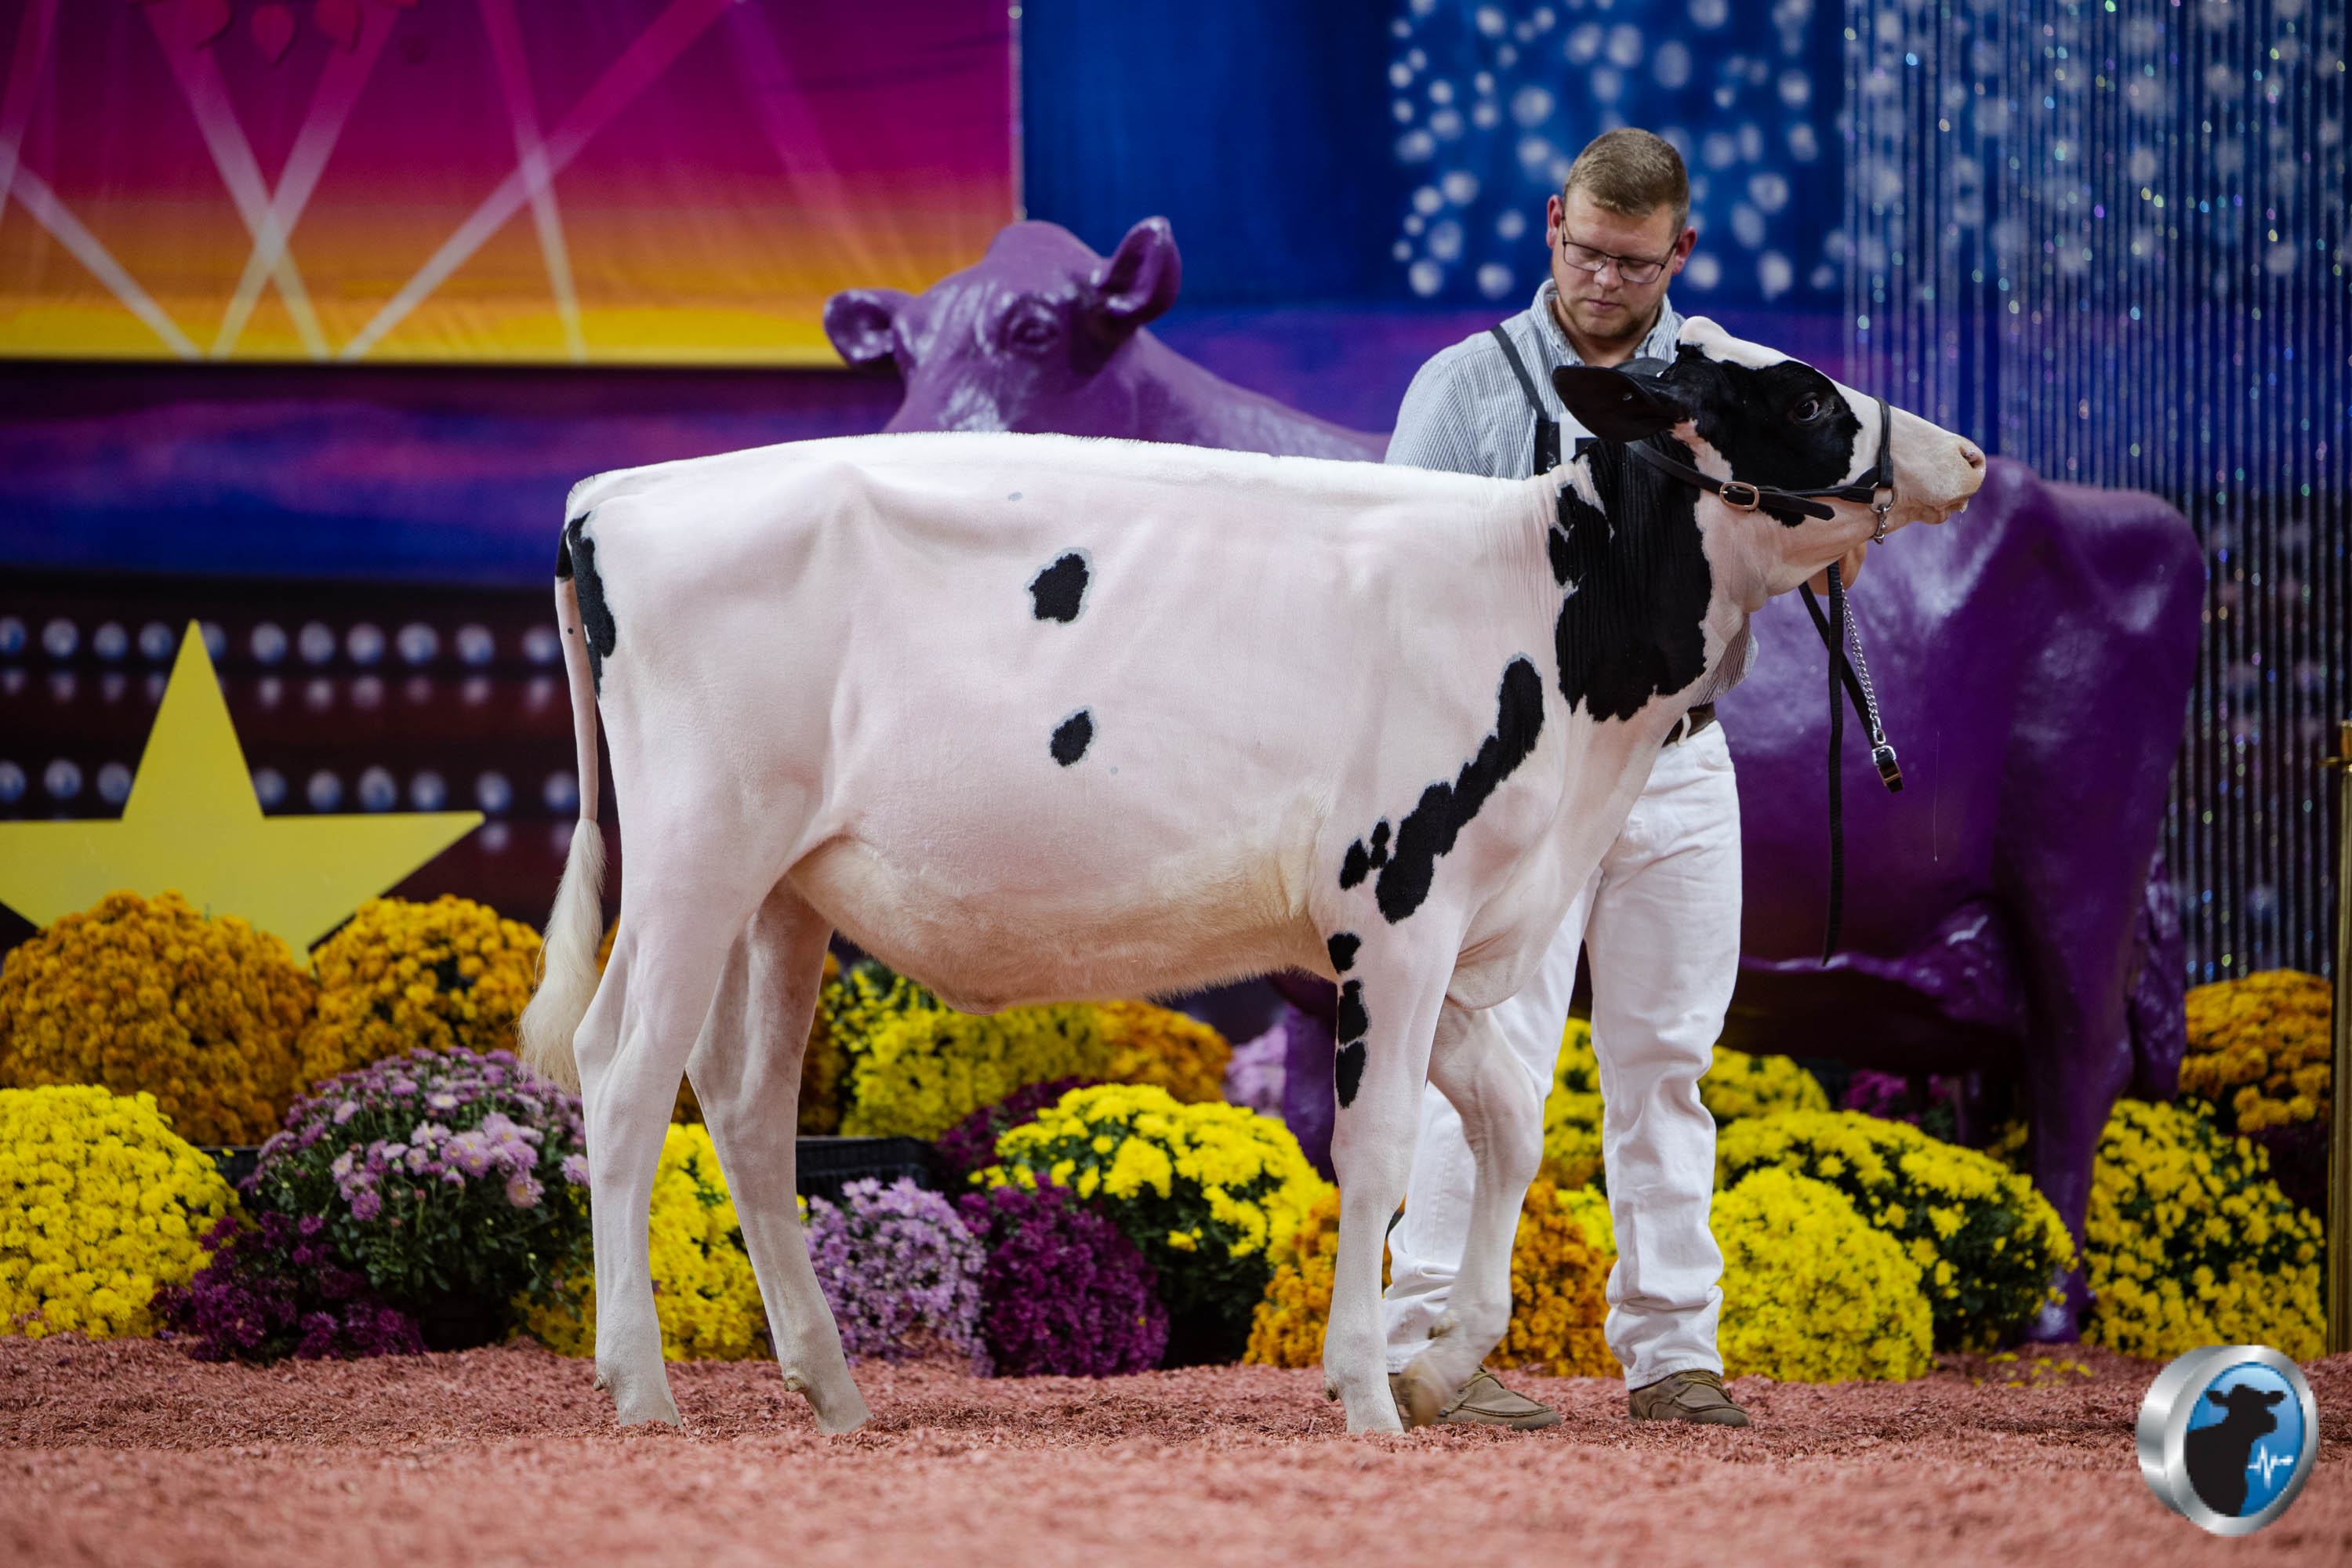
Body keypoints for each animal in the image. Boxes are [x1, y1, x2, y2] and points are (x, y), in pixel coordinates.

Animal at [516, 316, 1987, 1435]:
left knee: (745, 1105)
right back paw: (641, 1386)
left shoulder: (1440, 930)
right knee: (625, 1079)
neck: (1561, 633)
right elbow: (1382, 1149)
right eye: (1803, 395)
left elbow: (1510, 1125)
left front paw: (1443, 1368)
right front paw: (1370, 1394)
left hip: (784, 895)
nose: (1970, 451)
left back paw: (829, 1389)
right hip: (694, 860)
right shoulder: (1397, 905)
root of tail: (620, 494)